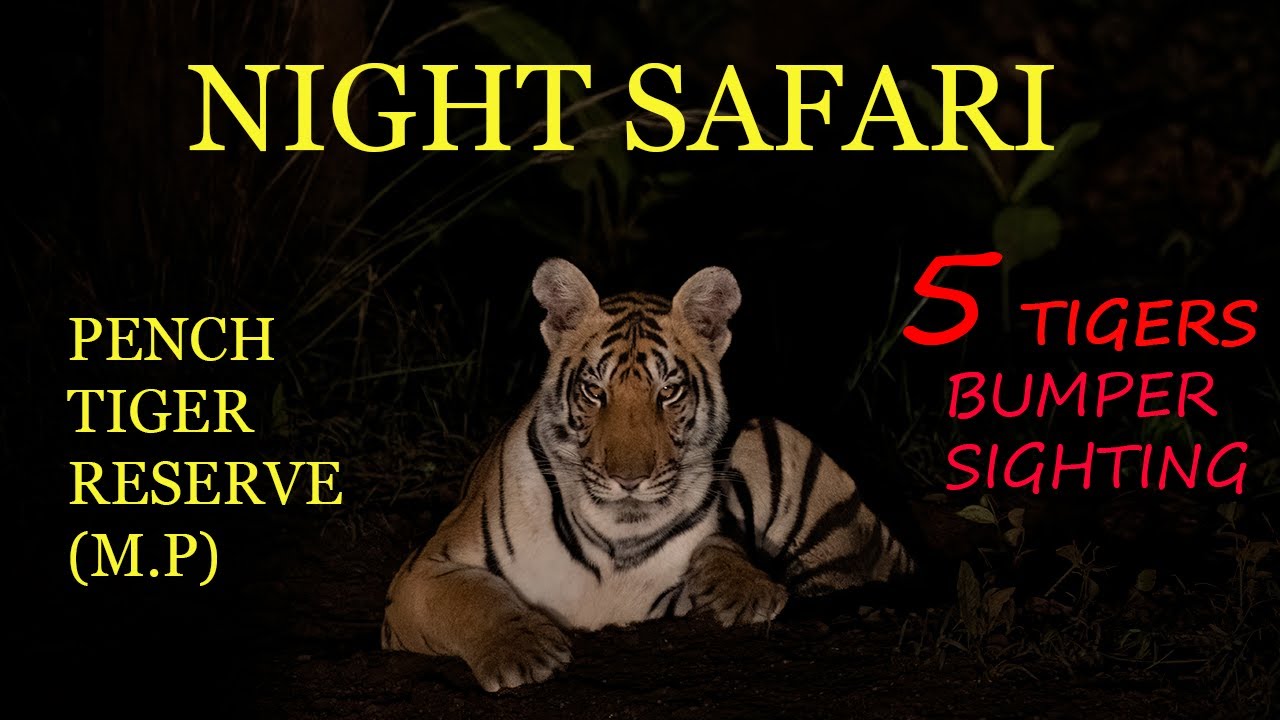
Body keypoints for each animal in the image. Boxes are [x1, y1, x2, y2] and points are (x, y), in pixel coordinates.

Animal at [382, 259, 915, 691]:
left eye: (669, 391)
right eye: (594, 391)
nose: (629, 479)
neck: (617, 532)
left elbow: (722, 546)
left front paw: (740, 587)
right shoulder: (419, 574)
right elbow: (471, 599)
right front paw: (523, 652)